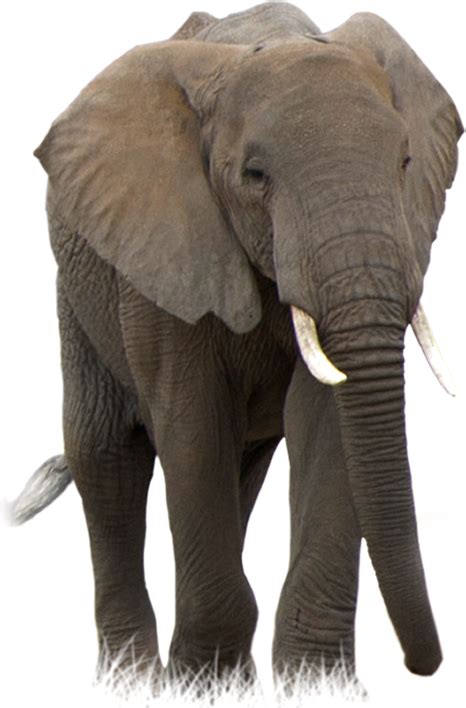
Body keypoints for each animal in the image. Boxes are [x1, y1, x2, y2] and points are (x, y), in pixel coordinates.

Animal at [22, 0, 462, 692]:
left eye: (405, 163)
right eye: (255, 176)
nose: (425, 665)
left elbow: (326, 422)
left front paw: (318, 686)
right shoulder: (168, 242)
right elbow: (193, 424)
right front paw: (201, 685)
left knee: (242, 467)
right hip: (79, 288)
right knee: (105, 453)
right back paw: (131, 682)